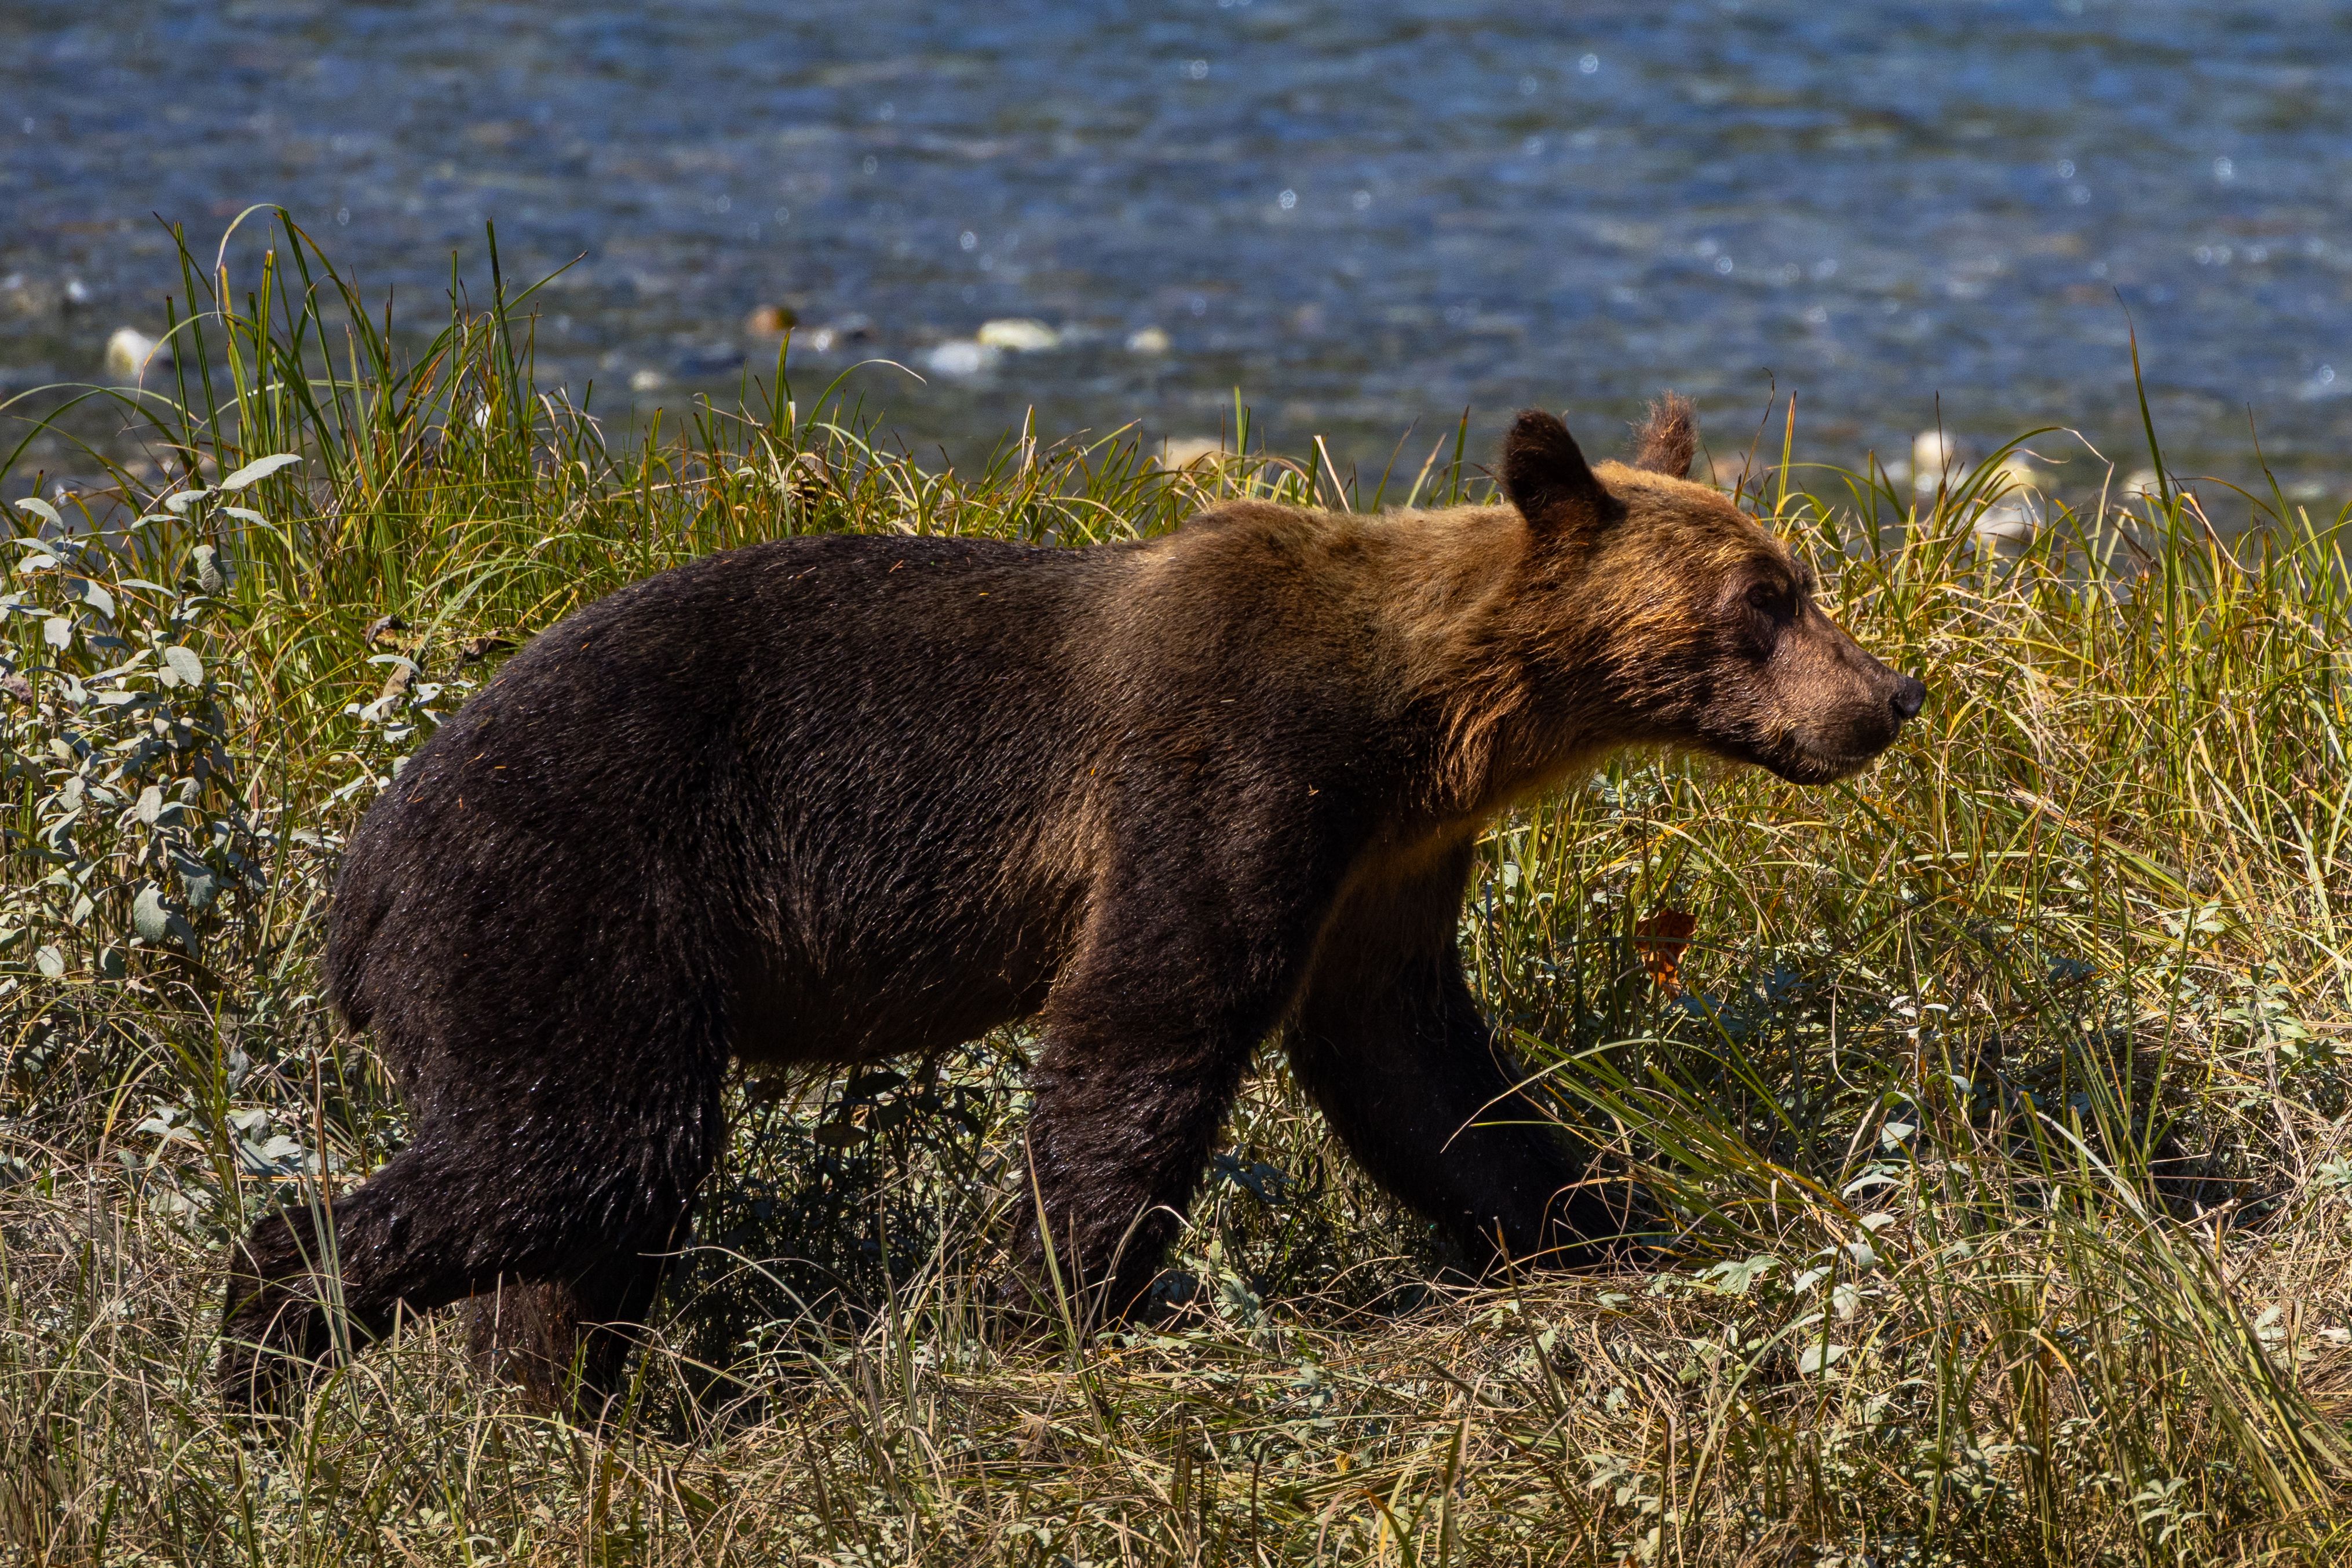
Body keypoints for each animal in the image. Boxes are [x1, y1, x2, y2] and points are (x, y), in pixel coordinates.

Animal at [218, 397, 1925, 1411]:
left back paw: (557, 1392)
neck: (1431, 715)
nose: (1888, 696)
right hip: (567, 891)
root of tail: (354, 883)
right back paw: (270, 1338)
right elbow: (1152, 1019)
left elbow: (1419, 1066)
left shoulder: (1383, 861)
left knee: (594, 1199)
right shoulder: (1235, 761)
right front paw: (1045, 1299)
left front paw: (1603, 1215)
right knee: (576, 1145)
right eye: (1765, 599)